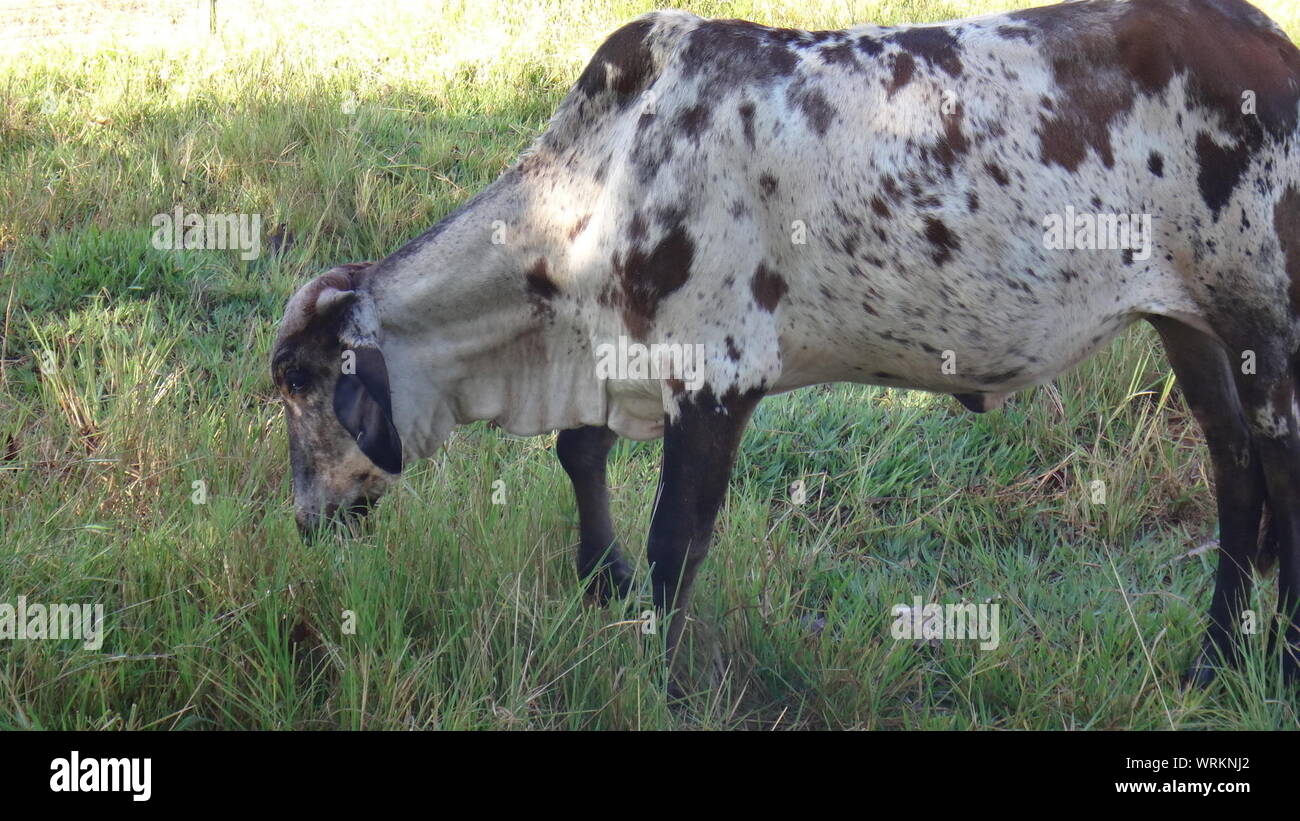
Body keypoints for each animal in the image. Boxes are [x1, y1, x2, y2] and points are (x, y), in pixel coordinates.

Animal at [271, 0, 1300, 693]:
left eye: (296, 382)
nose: (307, 522)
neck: (590, 189)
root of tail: (1267, 43)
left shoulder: (717, 379)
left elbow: (675, 545)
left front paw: (662, 676)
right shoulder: (620, 361)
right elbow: (581, 452)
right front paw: (601, 581)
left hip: (1265, 318)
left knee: (1279, 475)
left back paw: (1278, 666)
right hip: (1192, 325)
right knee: (1236, 474)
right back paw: (1211, 664)